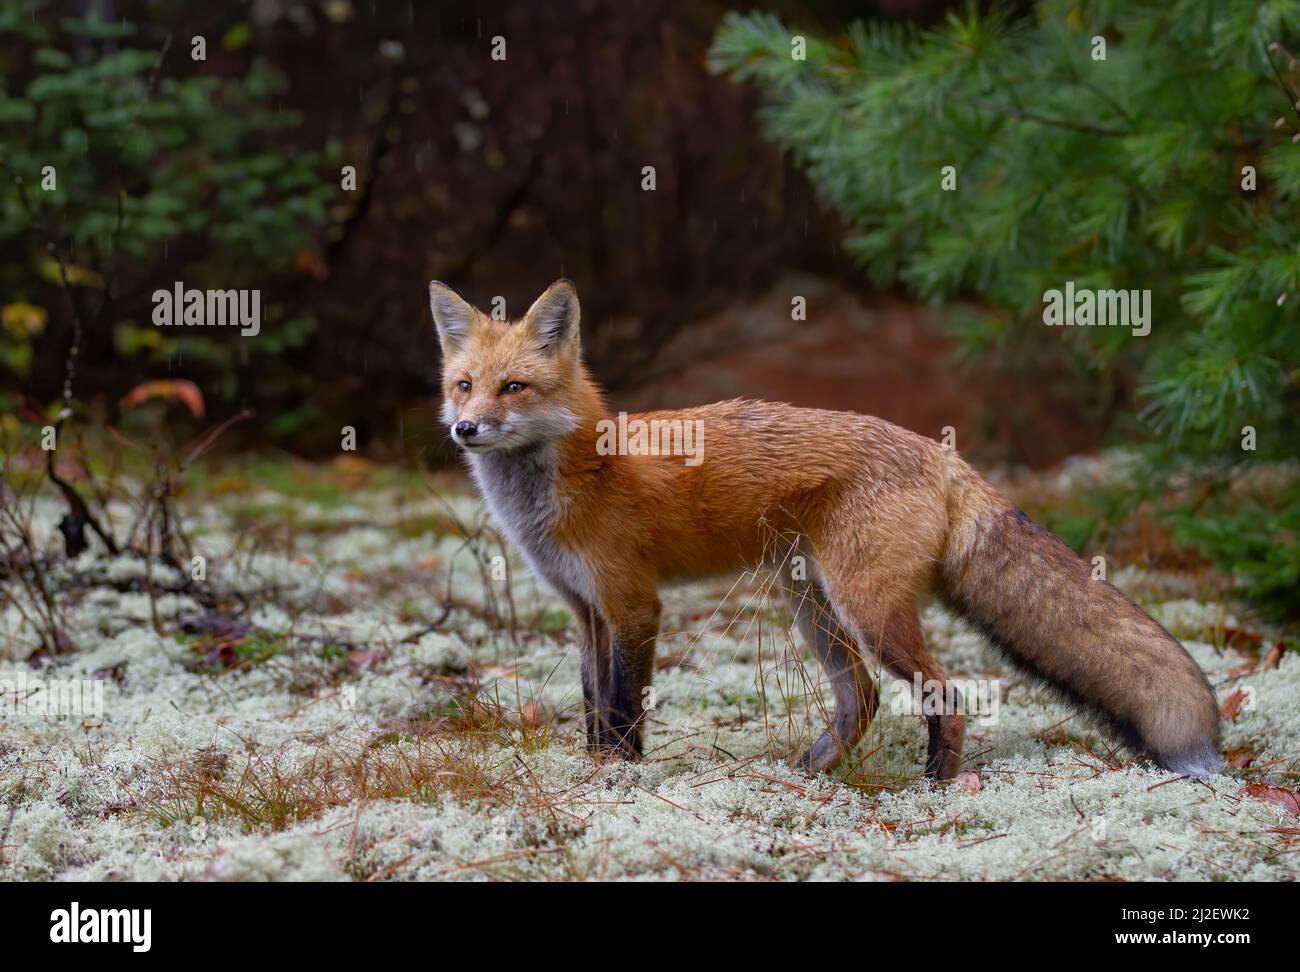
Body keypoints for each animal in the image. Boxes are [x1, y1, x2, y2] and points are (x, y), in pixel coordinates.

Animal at [428, 278, 1223, 781]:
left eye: (514, 388)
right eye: (463, 385)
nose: (466, 429)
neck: (578, 474)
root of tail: (940, 452)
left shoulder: (633, 605)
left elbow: (624, 708)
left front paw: (621, 777)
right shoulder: (586, 611)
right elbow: (596, 703)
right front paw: (594, 768)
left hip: (865, 607)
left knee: (945, 694)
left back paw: (936, 786)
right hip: (811, 603)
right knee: (861, 699)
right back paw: (813, 773)